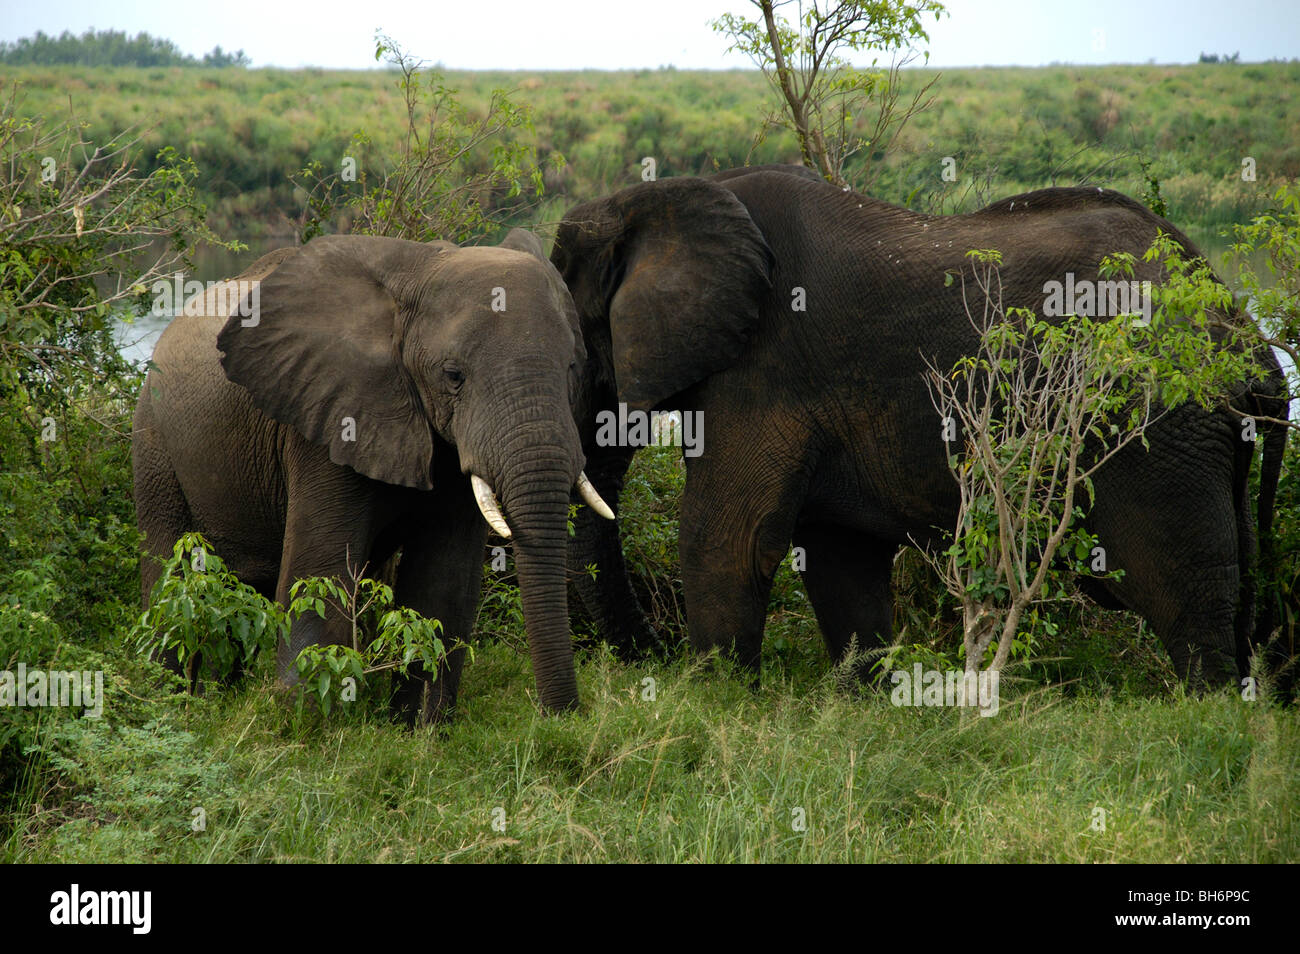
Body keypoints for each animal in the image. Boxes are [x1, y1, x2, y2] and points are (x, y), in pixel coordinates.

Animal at [132, 229, 614, 722]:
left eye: (572, 368)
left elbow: (443, 581)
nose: (561, 717)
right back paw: (165, 699)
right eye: (453, 375)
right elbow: (320, 574)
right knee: (170, 581)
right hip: (154, 446)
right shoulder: (325, 418)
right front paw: (308, 721)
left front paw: (421, 726)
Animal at [551, 169, 1288, 690]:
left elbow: (729, 536)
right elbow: (839, 553)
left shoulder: (764, 369)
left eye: (577, 354)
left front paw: (715, 697)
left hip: (1158, 424)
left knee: (1181, 589)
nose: (657, 653)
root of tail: (1248, 337)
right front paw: (863, 700)